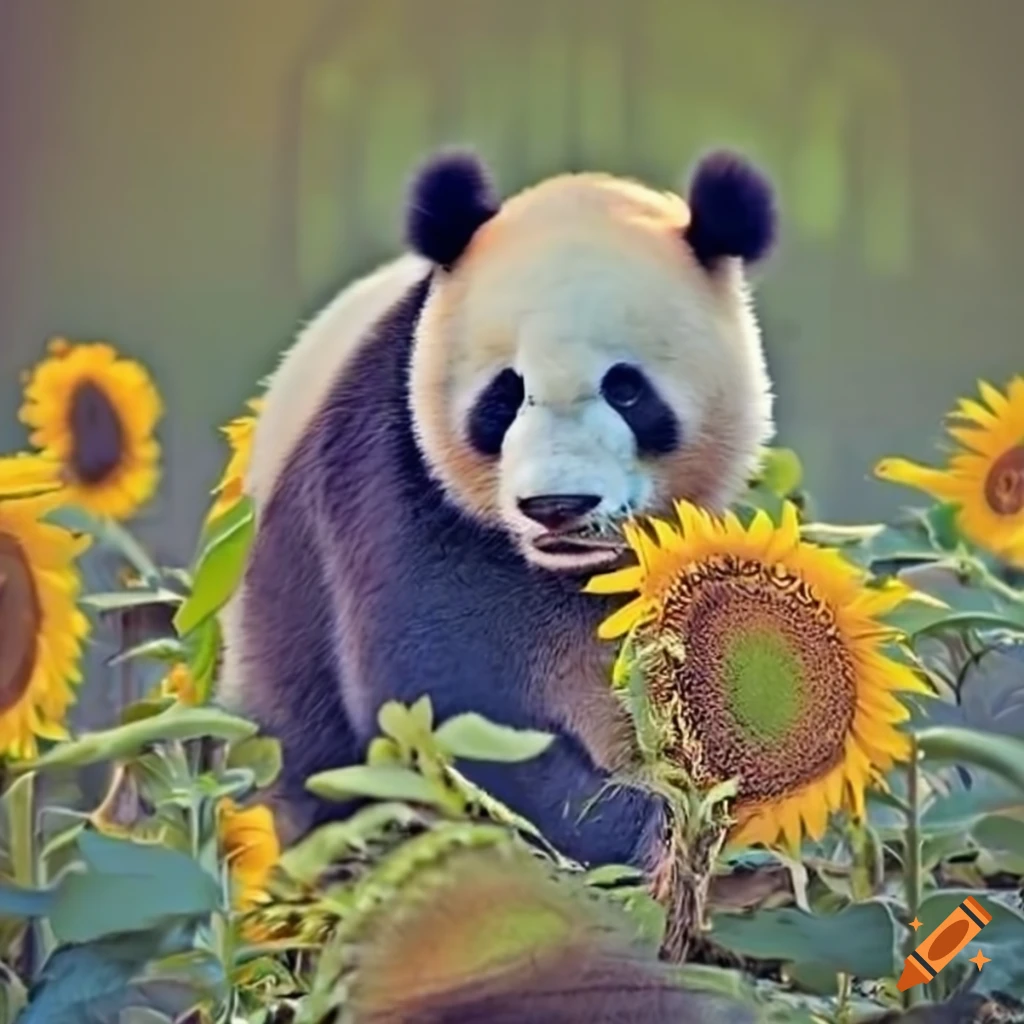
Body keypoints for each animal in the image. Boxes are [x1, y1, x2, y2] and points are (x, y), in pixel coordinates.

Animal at [218, 146, 777, 871]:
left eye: (627, 391)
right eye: (506, 395)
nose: (558, 505)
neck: (572, 572)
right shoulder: (392, 471)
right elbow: (444, 701)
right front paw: (645, 827)